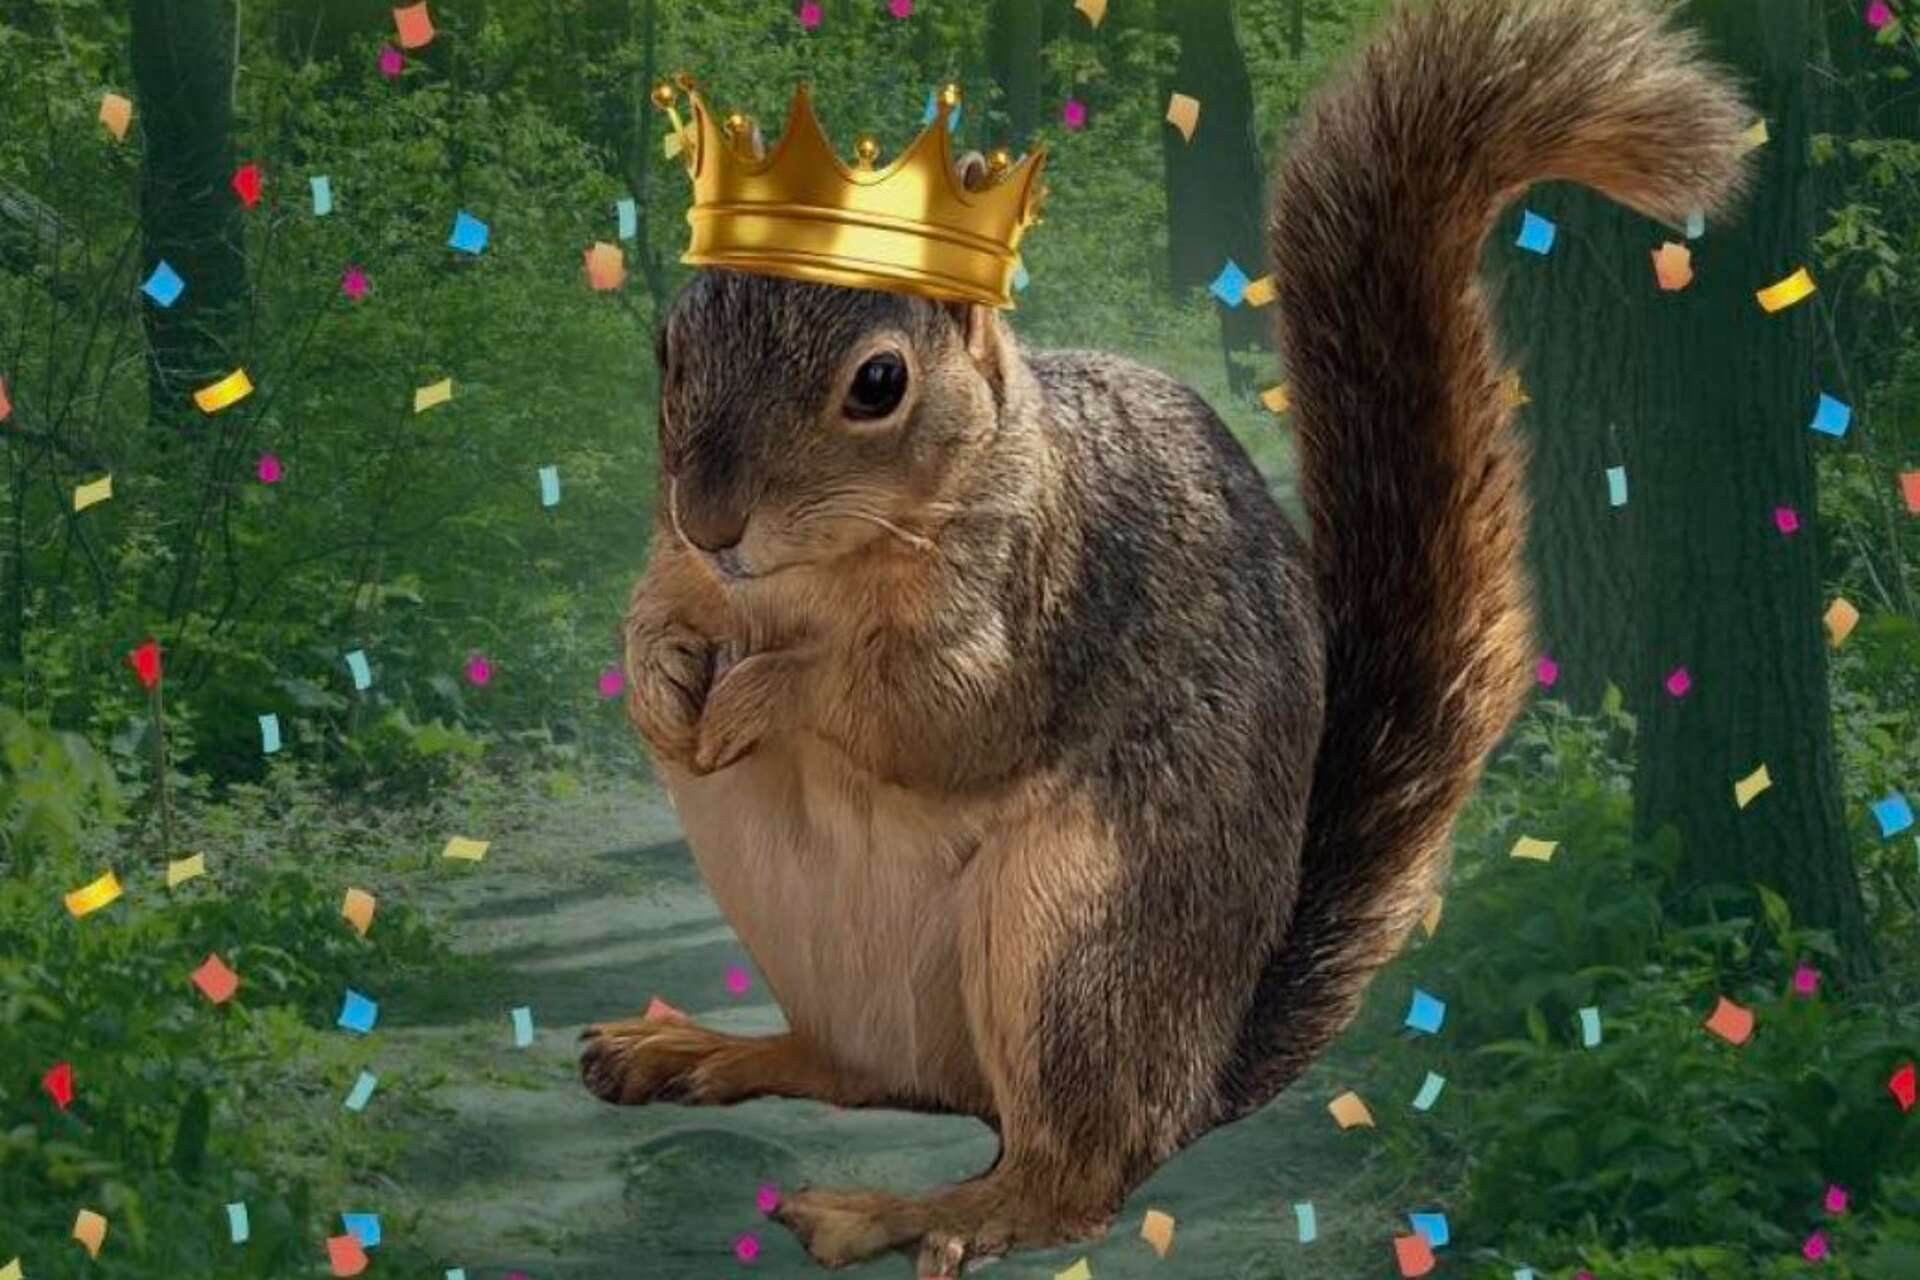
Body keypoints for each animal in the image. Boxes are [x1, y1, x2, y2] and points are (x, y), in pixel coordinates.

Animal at [580, 0, 1752, 1274]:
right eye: (667, 346)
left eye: (879, 383)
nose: (711, 517)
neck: (806, 583)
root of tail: (1204, 1063)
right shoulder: (682, 570)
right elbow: (654, 614)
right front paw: (662, 686)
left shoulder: (1036, 607)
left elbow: (923, 713)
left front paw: (758, 696)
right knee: (861, 1069)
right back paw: (698, 1048)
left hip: (1074, 941)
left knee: (1072, 1173)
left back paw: (916, 1209)